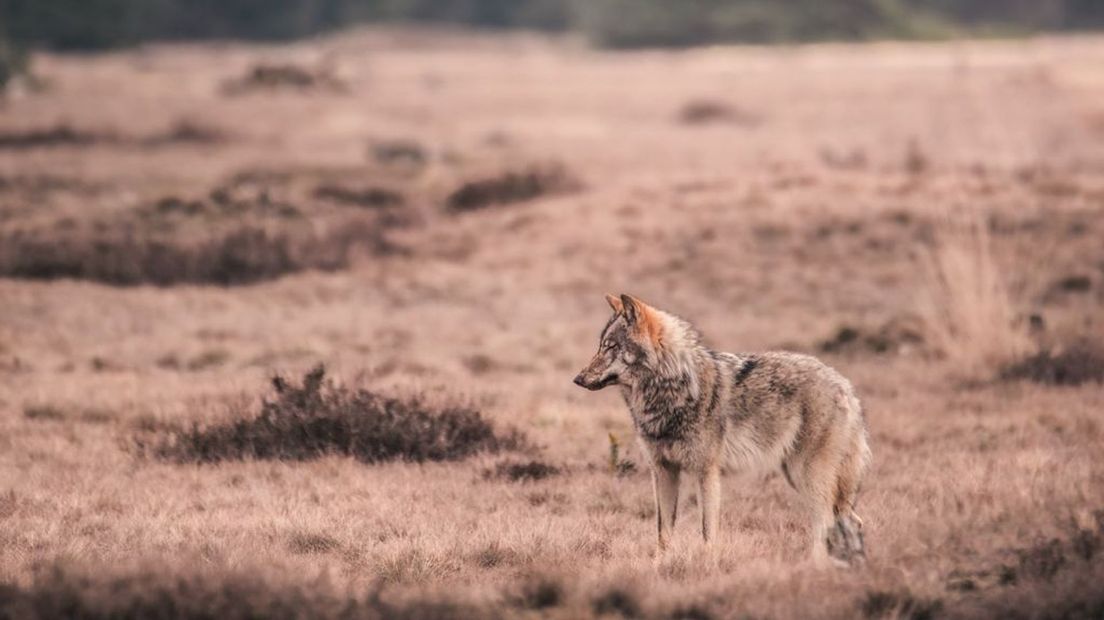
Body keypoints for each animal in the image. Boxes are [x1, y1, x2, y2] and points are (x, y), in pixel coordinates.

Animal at [574, 294, 870, 565]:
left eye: (610, 346)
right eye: (601, 345)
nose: (577, 378)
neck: (670, 389)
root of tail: (845, 385)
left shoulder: (706, 472)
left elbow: (707, 529)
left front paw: (706, 564)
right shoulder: (663, 471)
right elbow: (663, 532)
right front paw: (658, 566)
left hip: (807, 477)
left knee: (827, 523)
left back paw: (816, 567)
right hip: (799, 478)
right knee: (852, 521)